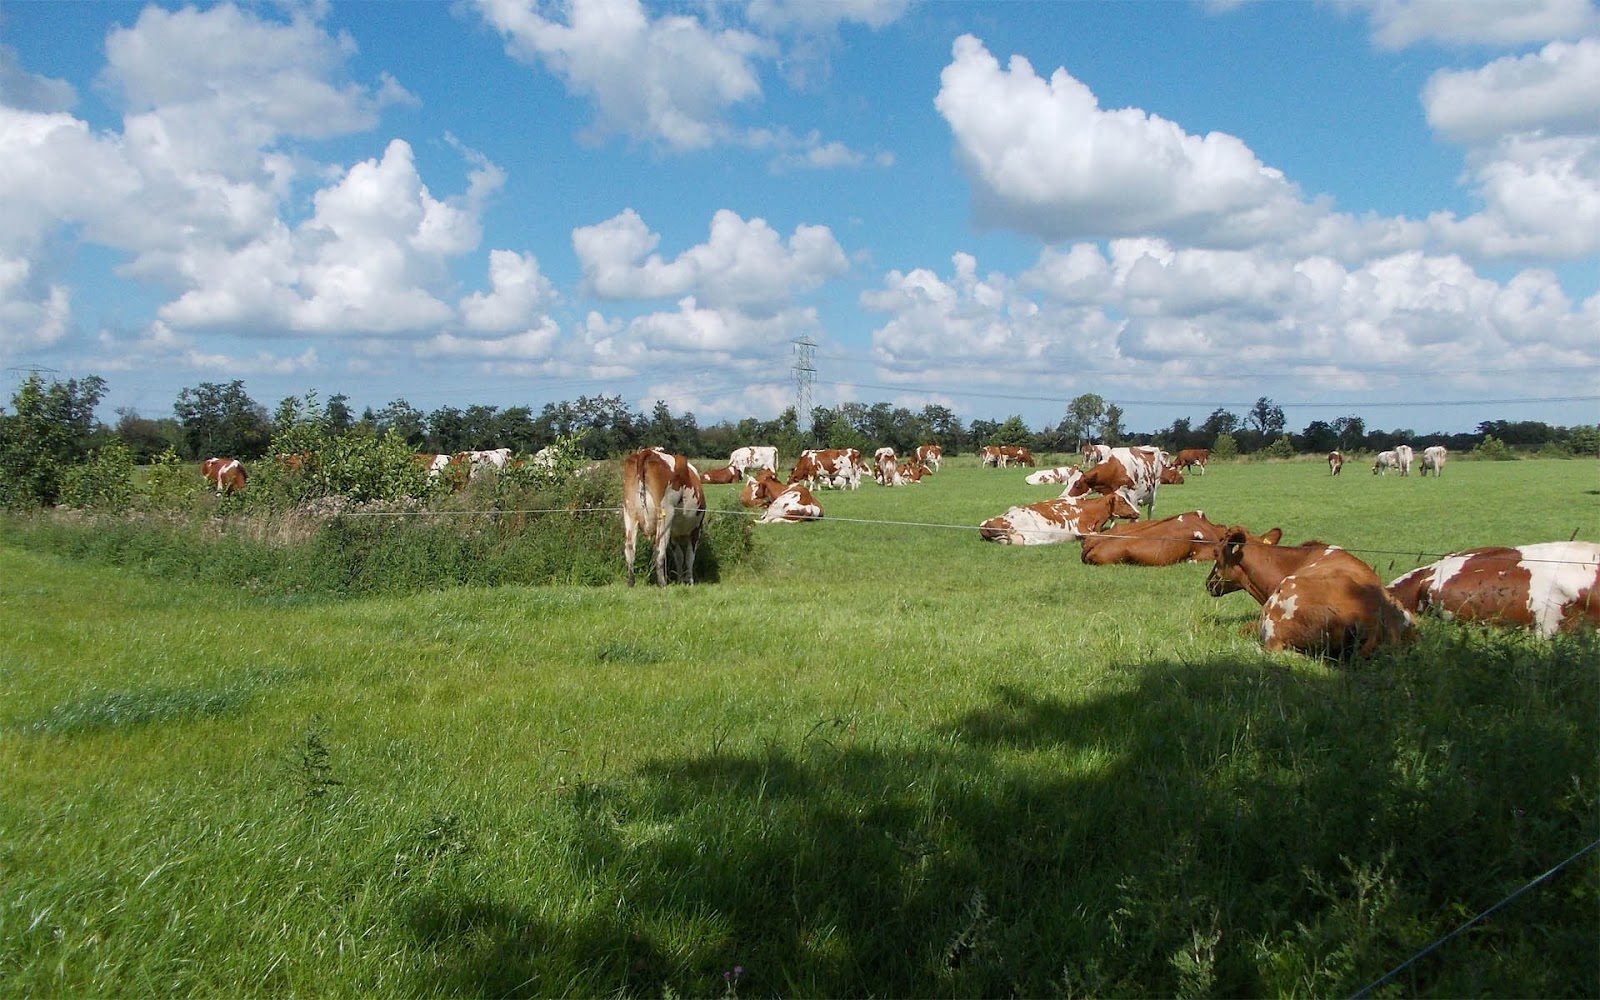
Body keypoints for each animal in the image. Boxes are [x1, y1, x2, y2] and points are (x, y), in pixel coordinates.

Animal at [621, 448, 706, 587]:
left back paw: (631, 582)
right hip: (665, 514)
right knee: (659, 549)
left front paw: (680, 580)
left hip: (629, 513)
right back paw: (662, 583)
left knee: (630, 548)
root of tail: (648, 451)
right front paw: (689, 581)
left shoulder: (673, 534)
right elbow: (689, 556)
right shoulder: (696, 529)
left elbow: (679, 556)